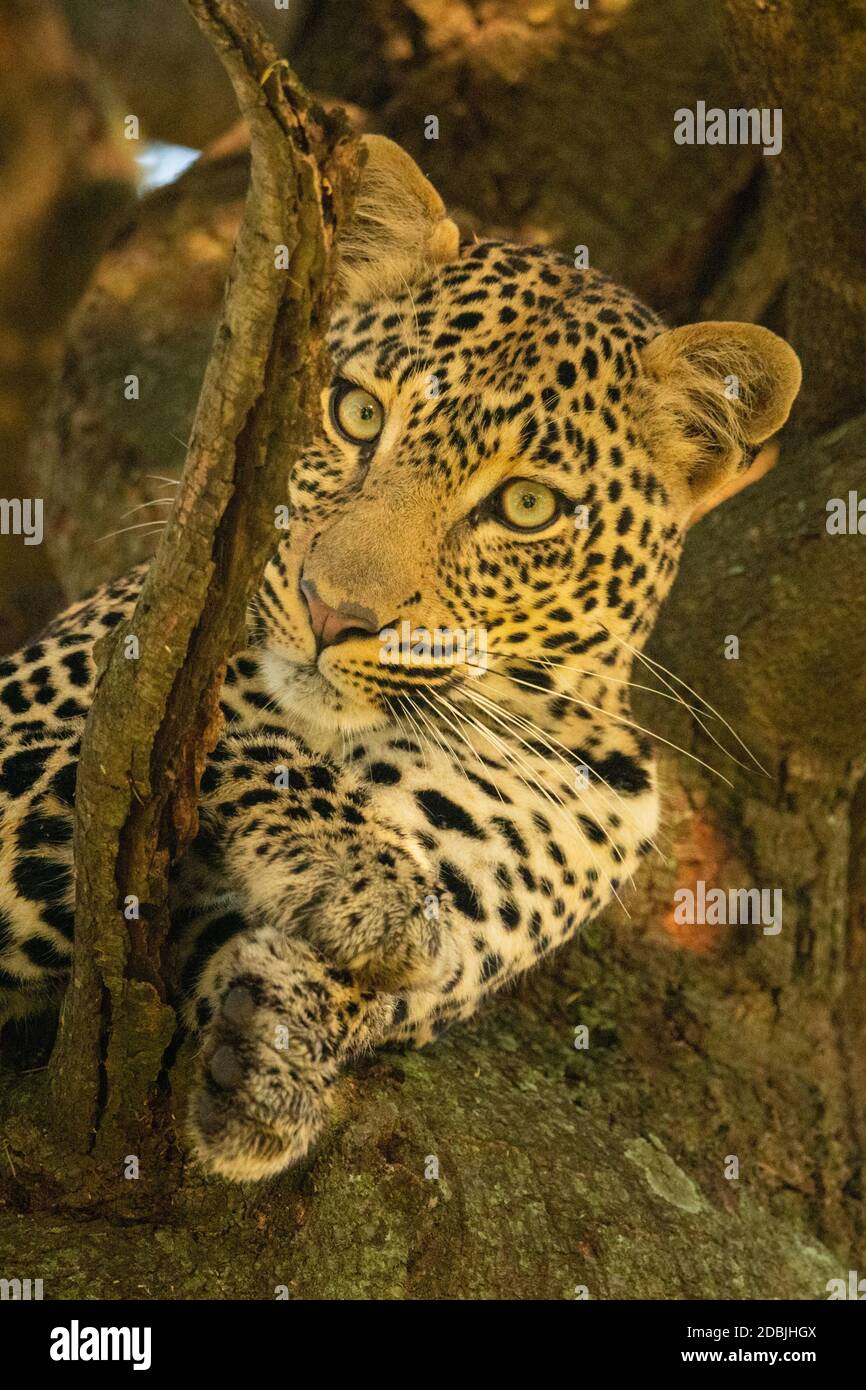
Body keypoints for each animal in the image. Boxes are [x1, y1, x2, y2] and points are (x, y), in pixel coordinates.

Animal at [0, 136, 801, 1180]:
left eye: (527, 507)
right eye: (354, 413)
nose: (332, 610)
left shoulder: (570, 829)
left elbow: (408, 969)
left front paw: (280, 1044)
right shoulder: (40, 716)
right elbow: (210, 728)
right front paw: (368, 881)